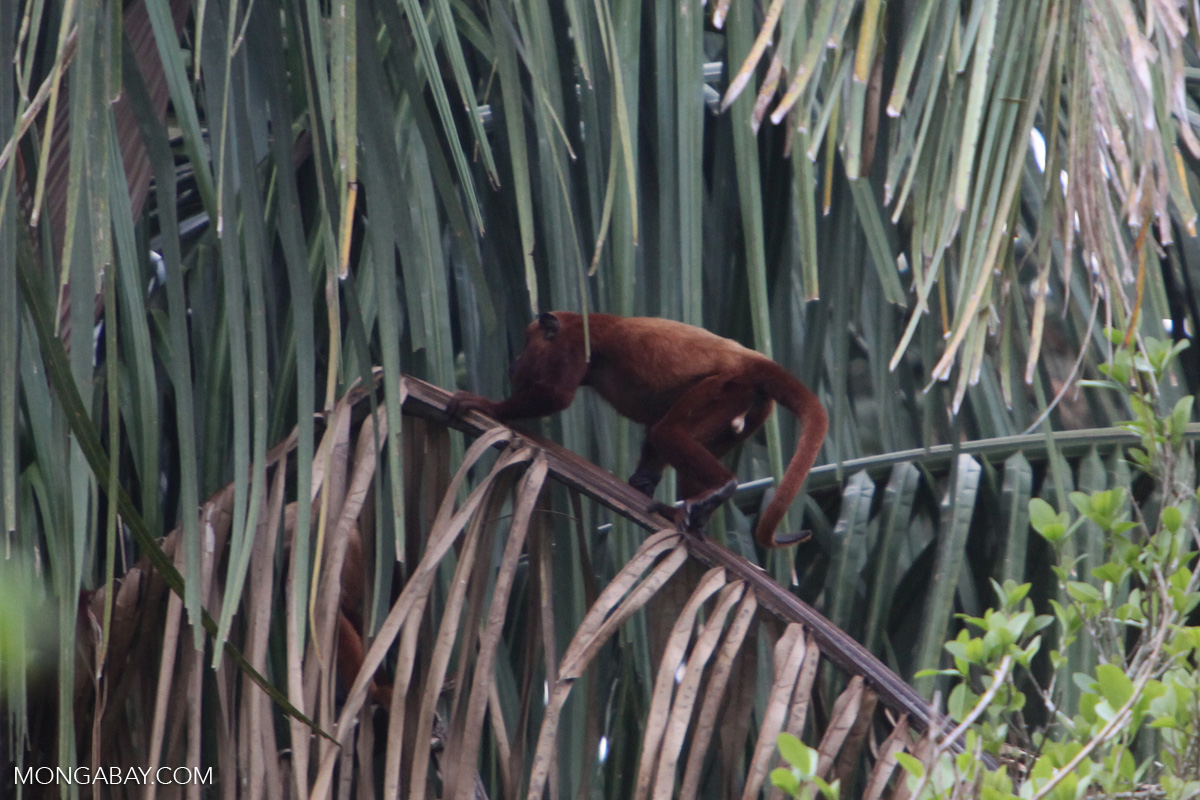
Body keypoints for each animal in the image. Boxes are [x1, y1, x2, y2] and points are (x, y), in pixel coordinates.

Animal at [447, 312, 828, 547]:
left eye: (526, 344)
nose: (512, 365)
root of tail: (751, 360)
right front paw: (643, 482)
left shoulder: (573, 343)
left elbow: (557, 395)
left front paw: (487, 406)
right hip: (750, 407)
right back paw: (688, 512)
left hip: (725, 387)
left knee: (667, 432)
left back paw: (721, 487)